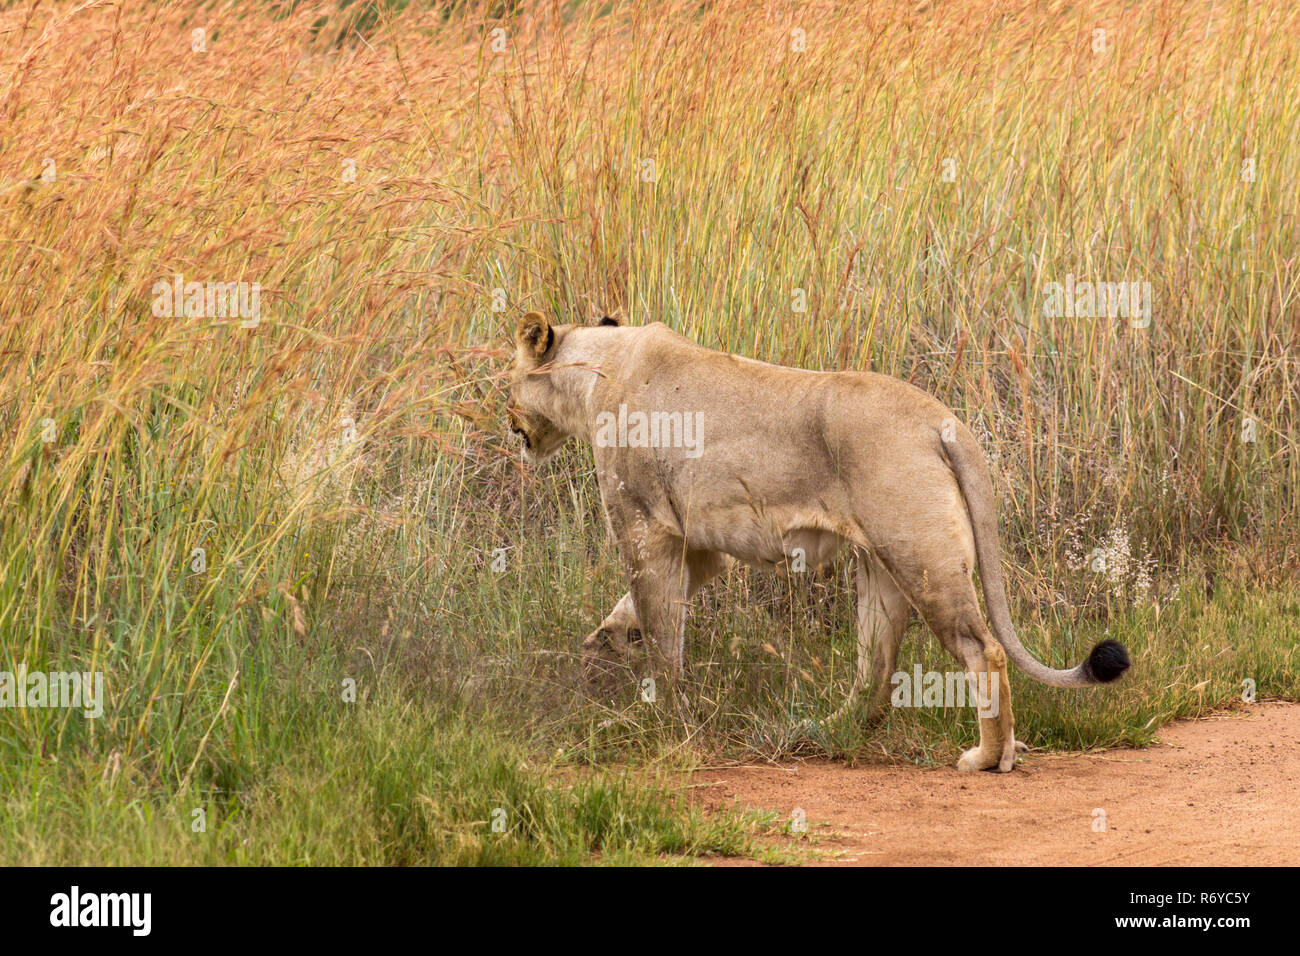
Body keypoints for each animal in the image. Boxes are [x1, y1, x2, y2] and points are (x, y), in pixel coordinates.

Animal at [506, 312, 1131, 772]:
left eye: (506, 381)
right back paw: (825, 730)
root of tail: (943, 420)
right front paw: (602, 646)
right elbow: (634, 610)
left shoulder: (646, 526)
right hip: (880, 566)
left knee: (984, 650)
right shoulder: (699, 547)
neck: (596, 369)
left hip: (921, 557)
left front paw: (664, 714)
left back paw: (987, 757)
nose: (505, 420)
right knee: (875, 672)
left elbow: (662, 634)